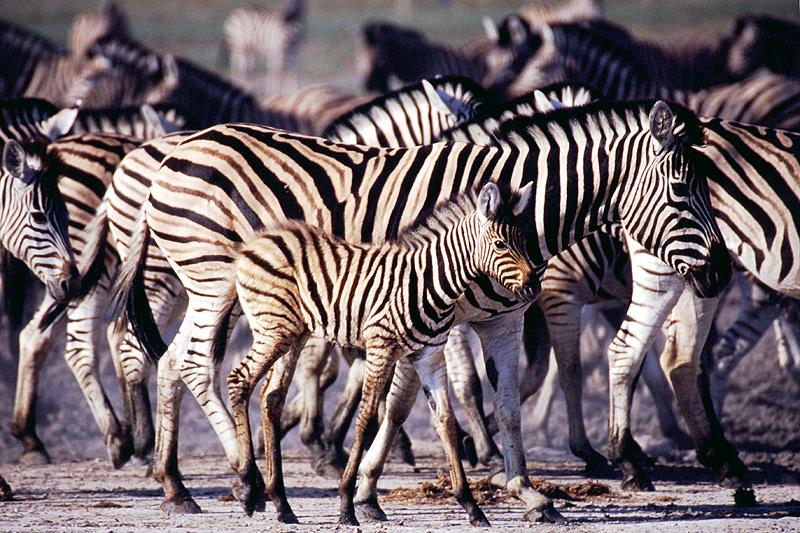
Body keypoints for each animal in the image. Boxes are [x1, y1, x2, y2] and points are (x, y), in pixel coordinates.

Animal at [10, 133, 142, 467]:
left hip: (66, 277)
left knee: (35, 335)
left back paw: (30, 439)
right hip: (90, 261)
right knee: (79, 345)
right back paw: (120, 439)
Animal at [224, 184, 536, 524]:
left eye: (525, 241)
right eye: (500, 244)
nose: (533, 286)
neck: (429, 284)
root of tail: (258, 241)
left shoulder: (429, 356)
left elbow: (445, 421)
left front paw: (471, 506)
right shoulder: (380, 347)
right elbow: (366, 416)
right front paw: (347, 504)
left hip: (293, 333)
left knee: (271, 397)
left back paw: (281, 502)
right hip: (273, 329)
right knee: (239, 380)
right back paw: (249, 490)